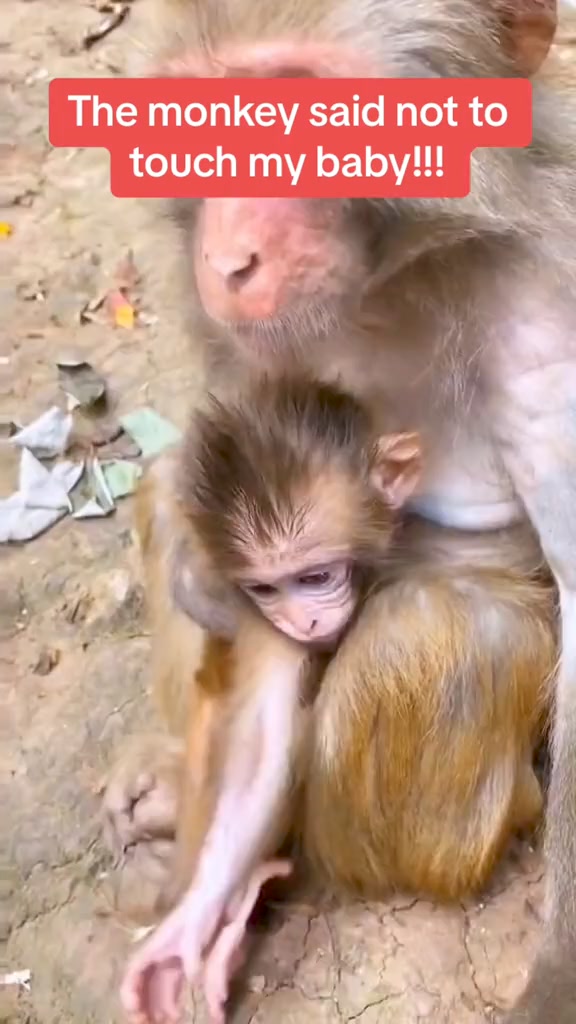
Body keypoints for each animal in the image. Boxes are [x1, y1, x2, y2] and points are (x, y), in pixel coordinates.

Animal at [101, 0, 576, 1020]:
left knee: (444, 628)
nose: (228, 260)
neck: (392, 274)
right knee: (173, 497)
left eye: (309, 115)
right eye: (202, 119)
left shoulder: (552, 304)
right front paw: (192, 917)